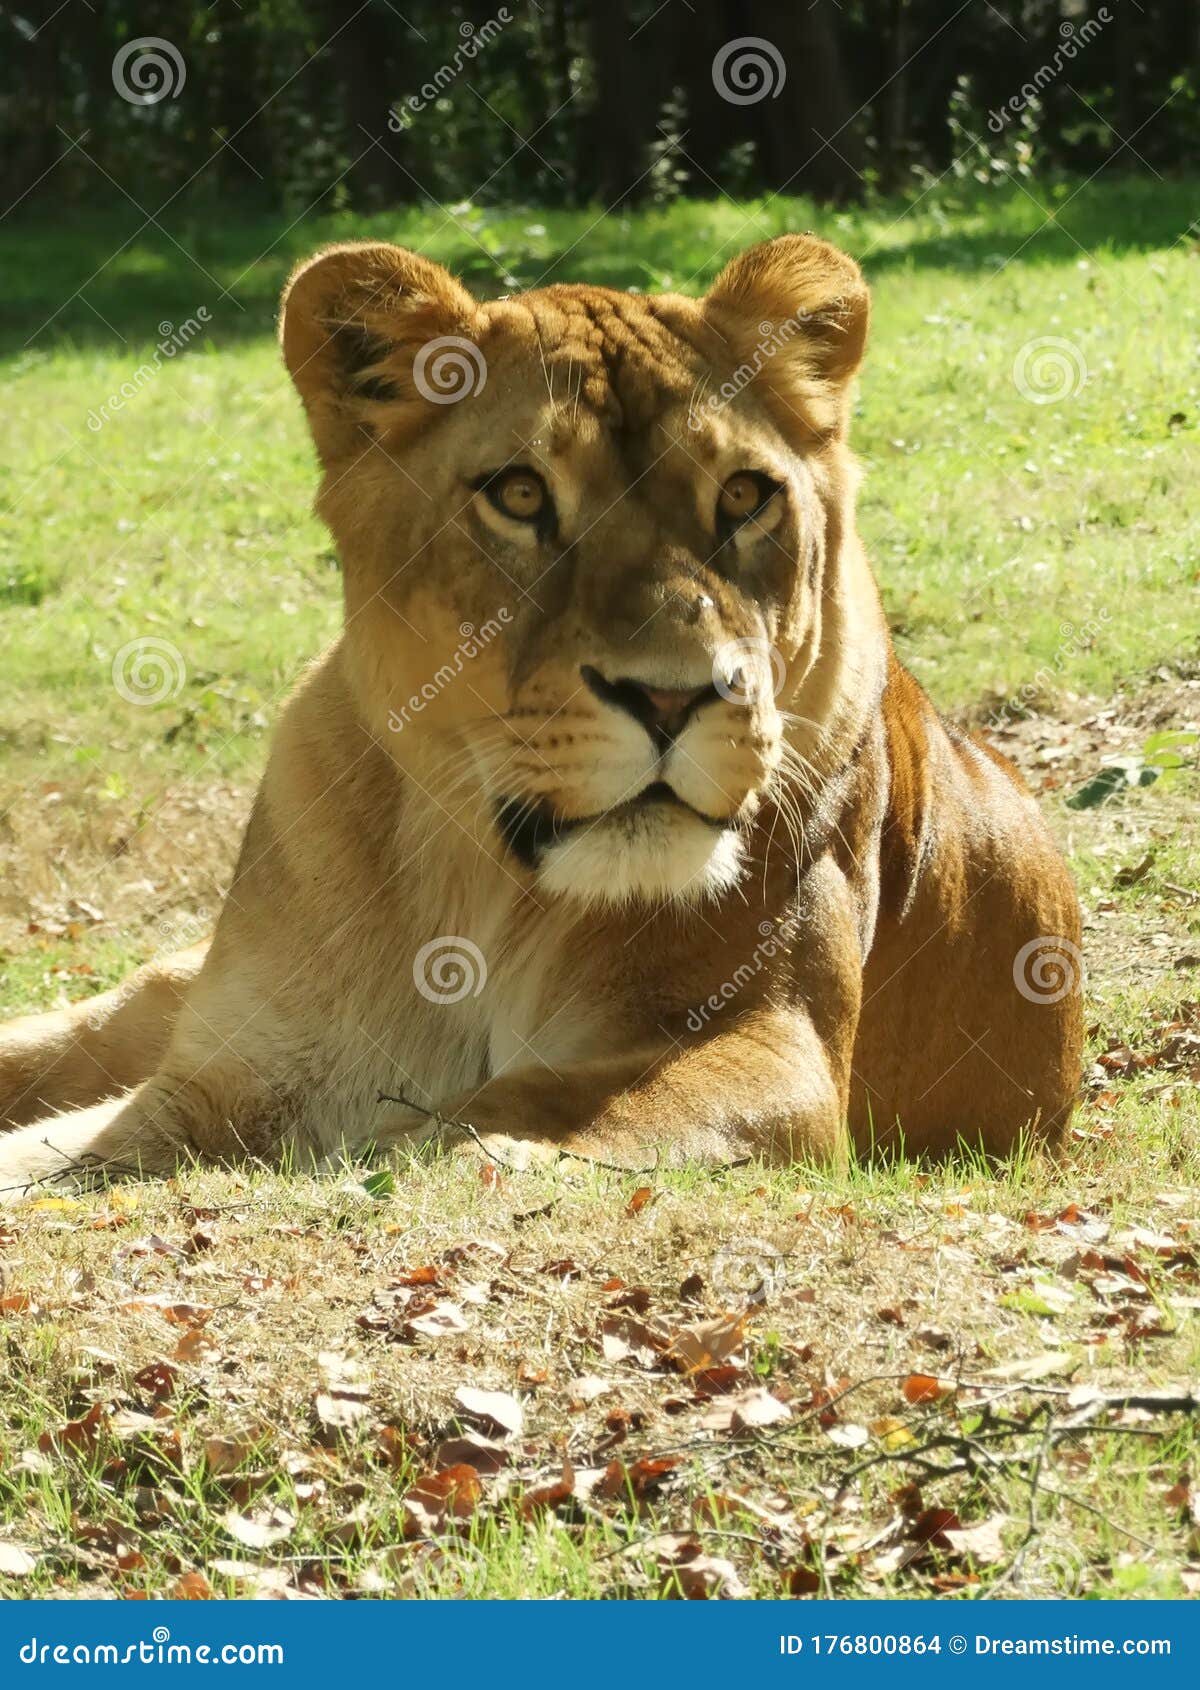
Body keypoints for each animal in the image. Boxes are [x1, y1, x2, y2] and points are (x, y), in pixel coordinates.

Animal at [0, 234, 1083, 1198]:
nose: (675, 694)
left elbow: (510, 1110)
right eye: (520, 494)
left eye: (744, 495)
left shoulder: (782, 1055)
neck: (472, 890)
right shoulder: (228, 1071)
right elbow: (78, 1150)